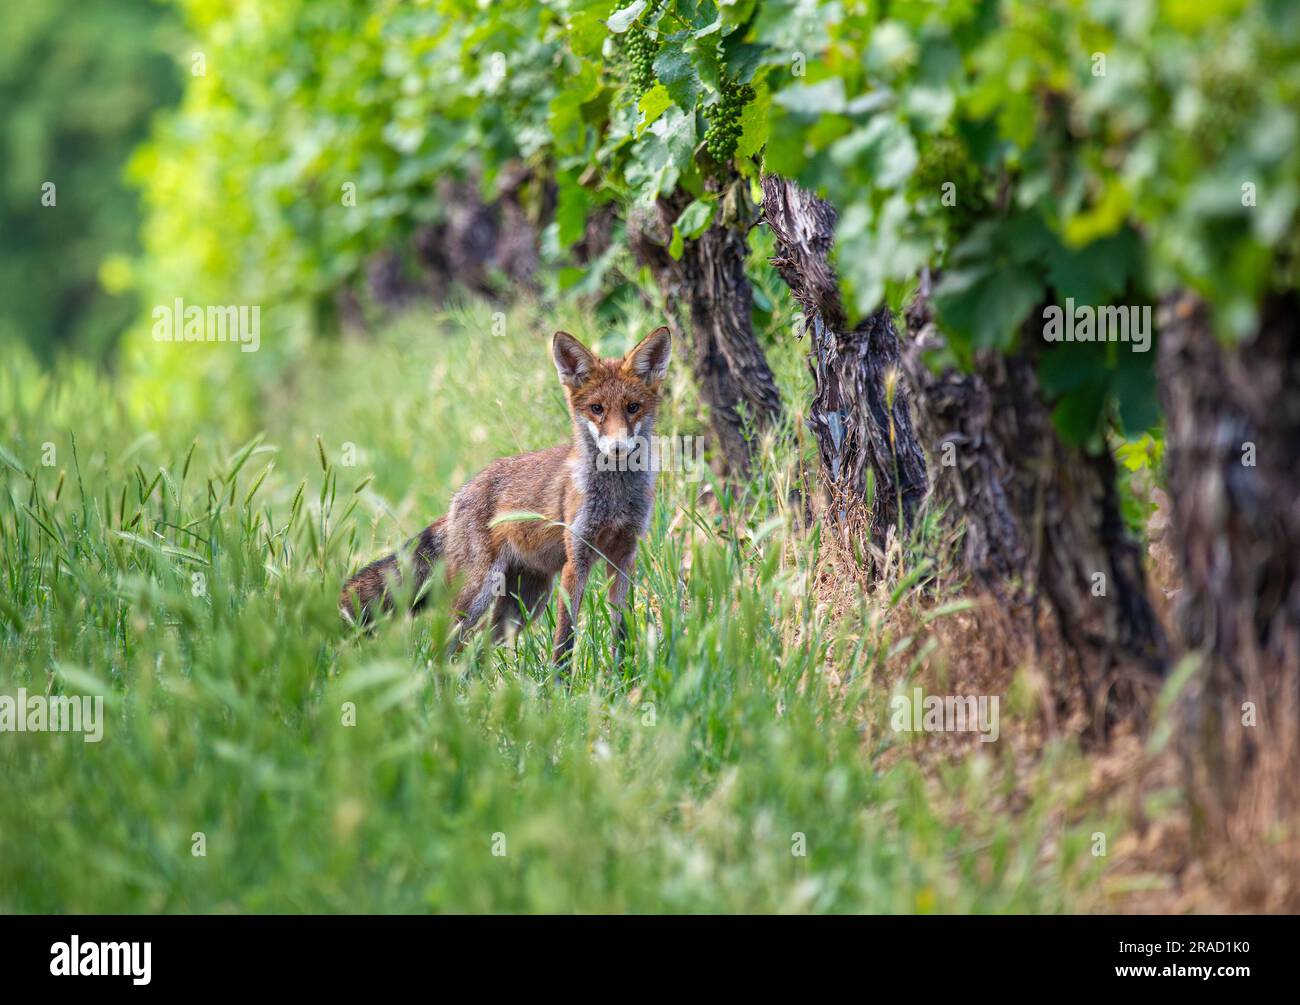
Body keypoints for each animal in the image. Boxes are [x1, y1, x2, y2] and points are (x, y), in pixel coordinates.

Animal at [339, 325, 672, 670]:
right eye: (597, 409)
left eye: (632, 407)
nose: (618, 447)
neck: (615, 497)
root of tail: (457, 499)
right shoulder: (577, 558)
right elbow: (565, 638)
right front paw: (560, 681)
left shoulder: (624, 555)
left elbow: (622, 630)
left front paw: (622, 675)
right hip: (478, 594)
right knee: (444, 646)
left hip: (525, 604)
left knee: (475, 648)